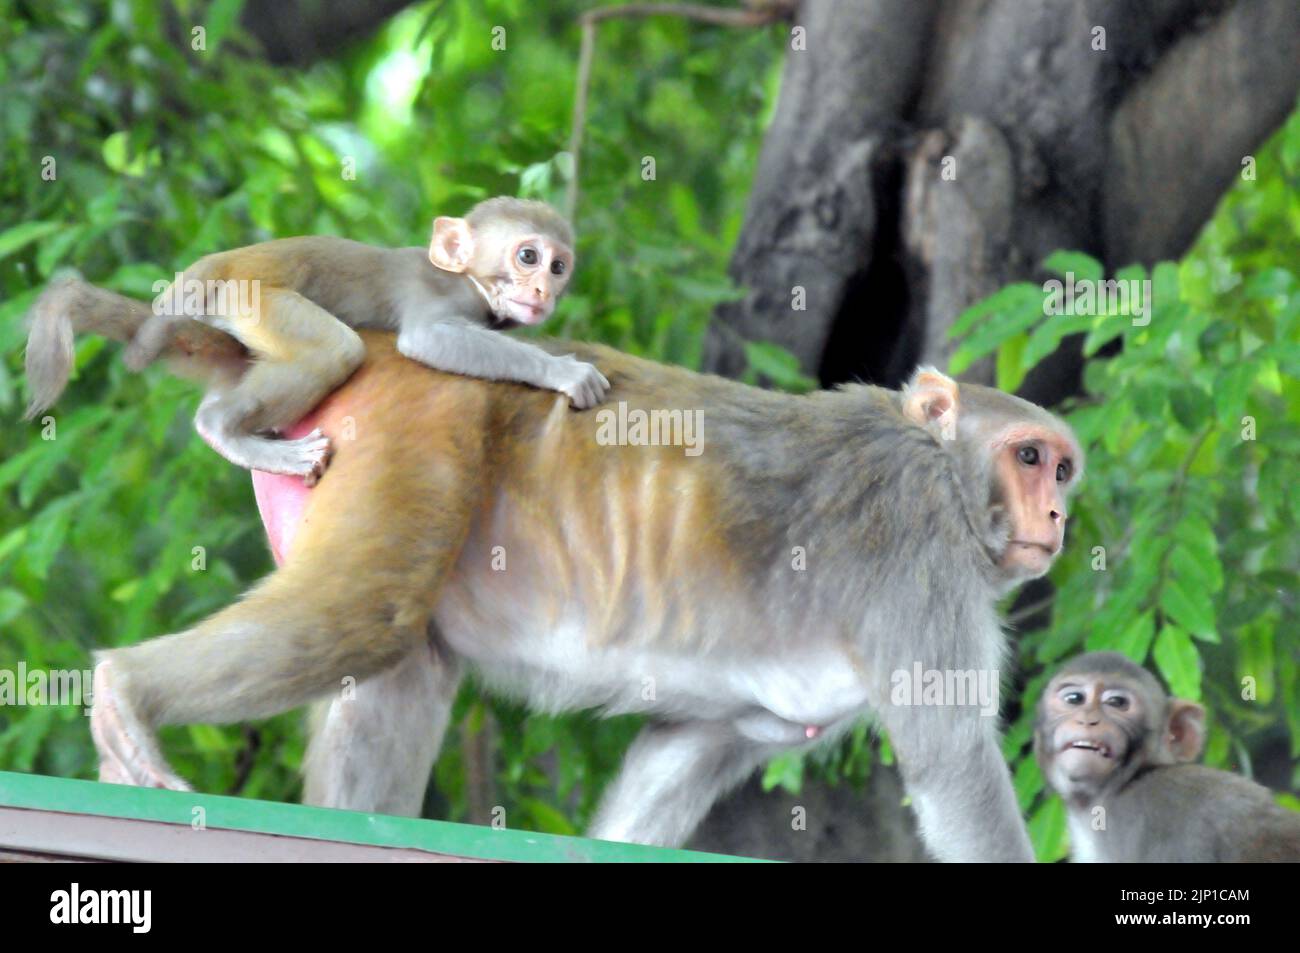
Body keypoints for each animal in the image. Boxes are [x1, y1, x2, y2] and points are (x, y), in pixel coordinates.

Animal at [25, 196, 609, 484]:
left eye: (558, 267)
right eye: (528, 257)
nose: (543, 289)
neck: (467, 279)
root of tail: (220, 264)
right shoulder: (437, 294)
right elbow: (426, 340)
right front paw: (565, 370)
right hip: (252, 299)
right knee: (336, 349)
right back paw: (225, 429)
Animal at [25, 295, 1082, 861]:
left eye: (1063, 470)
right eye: (1030, 458)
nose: (1057, 517)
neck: (941, 468)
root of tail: (374, 343)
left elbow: (684, 751)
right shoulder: (918, 546)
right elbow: (952, 759)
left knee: (405, 663)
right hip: (426, 421)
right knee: (369, 612)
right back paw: (125, 691)